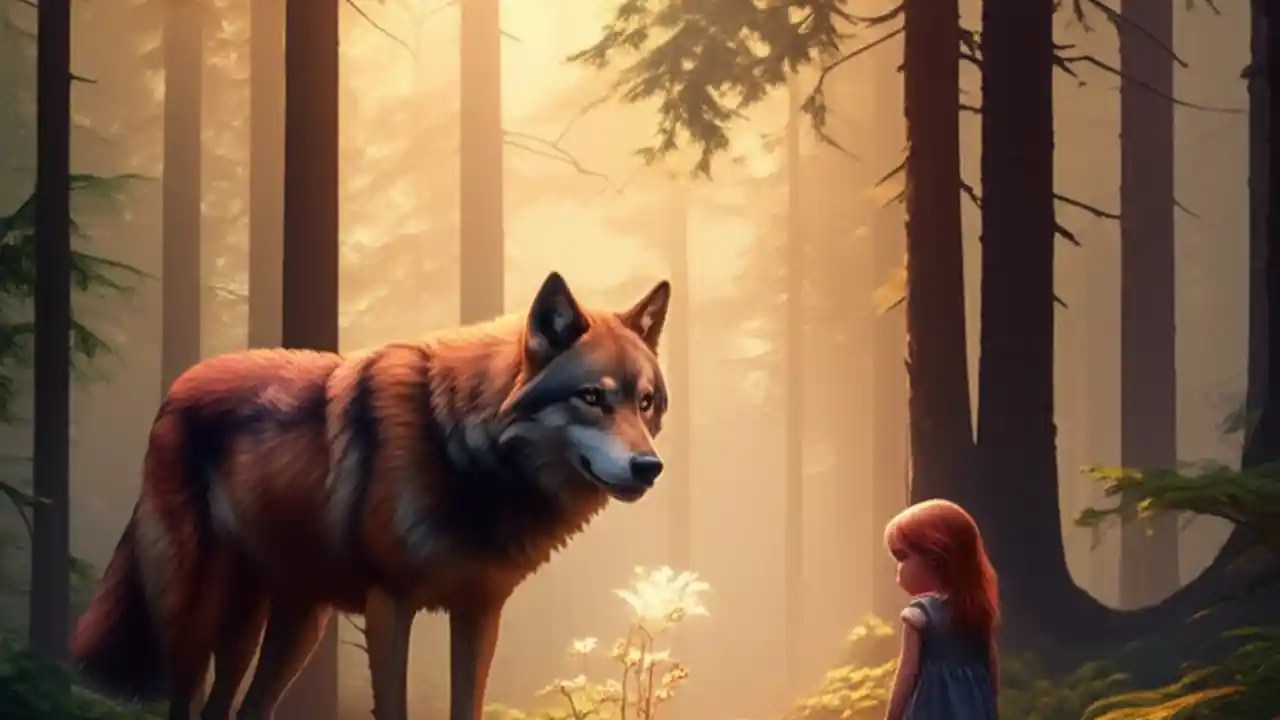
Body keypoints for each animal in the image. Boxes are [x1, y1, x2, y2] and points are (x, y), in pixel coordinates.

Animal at [70, 272, 672, 720]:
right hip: (200, 613)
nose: (650, 467)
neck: (462, 449)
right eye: (592, 397)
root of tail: (177, 386)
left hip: (288, 628)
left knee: (241, 710)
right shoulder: (391, 605)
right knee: (189, 702)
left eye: (644, 402)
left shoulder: (479, 613)